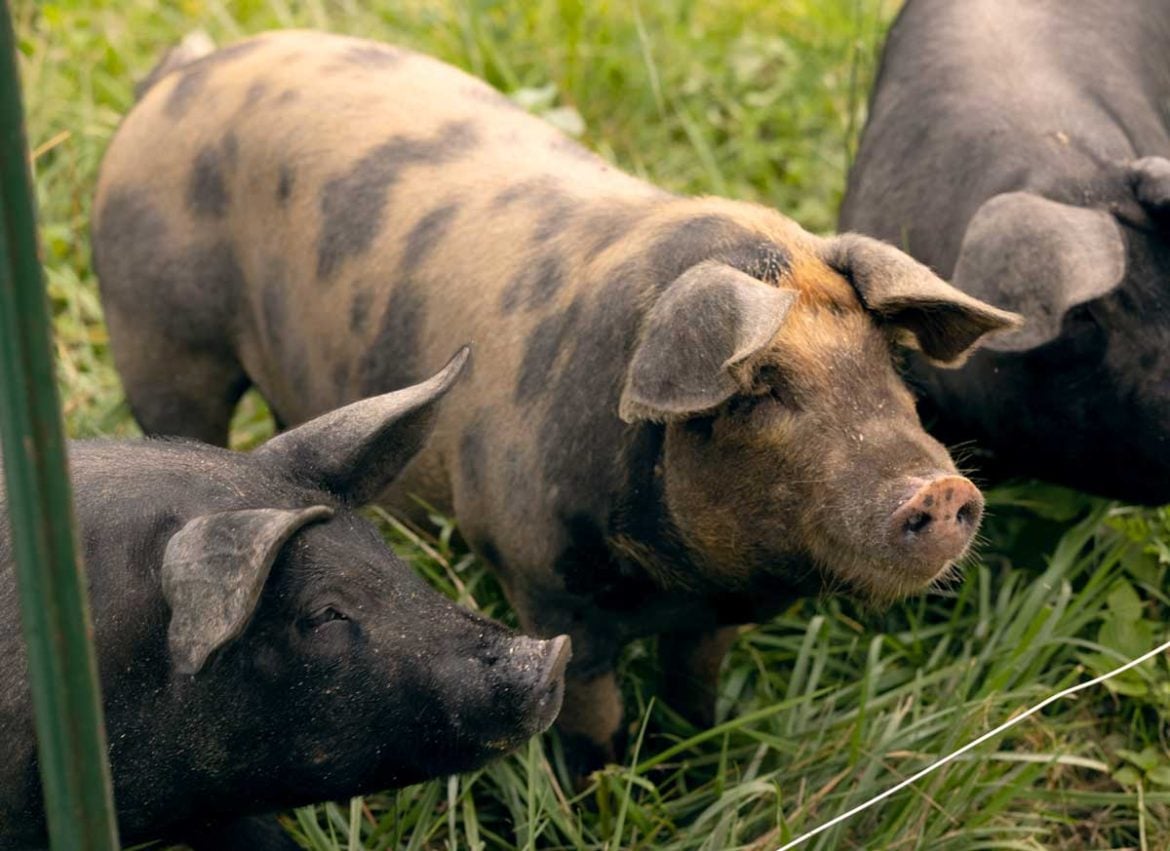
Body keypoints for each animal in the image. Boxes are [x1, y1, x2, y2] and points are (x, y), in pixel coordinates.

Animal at [91, 31, 1019, 779]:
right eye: (758, 388)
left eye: (890, 360)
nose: (943, 488)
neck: (680, 580)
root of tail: (176, 77)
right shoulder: (543, 583)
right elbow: (592, 717)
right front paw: (603, 790)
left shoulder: (711, 619)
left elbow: (695, 686)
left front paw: (697, 766)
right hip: (159, 340)